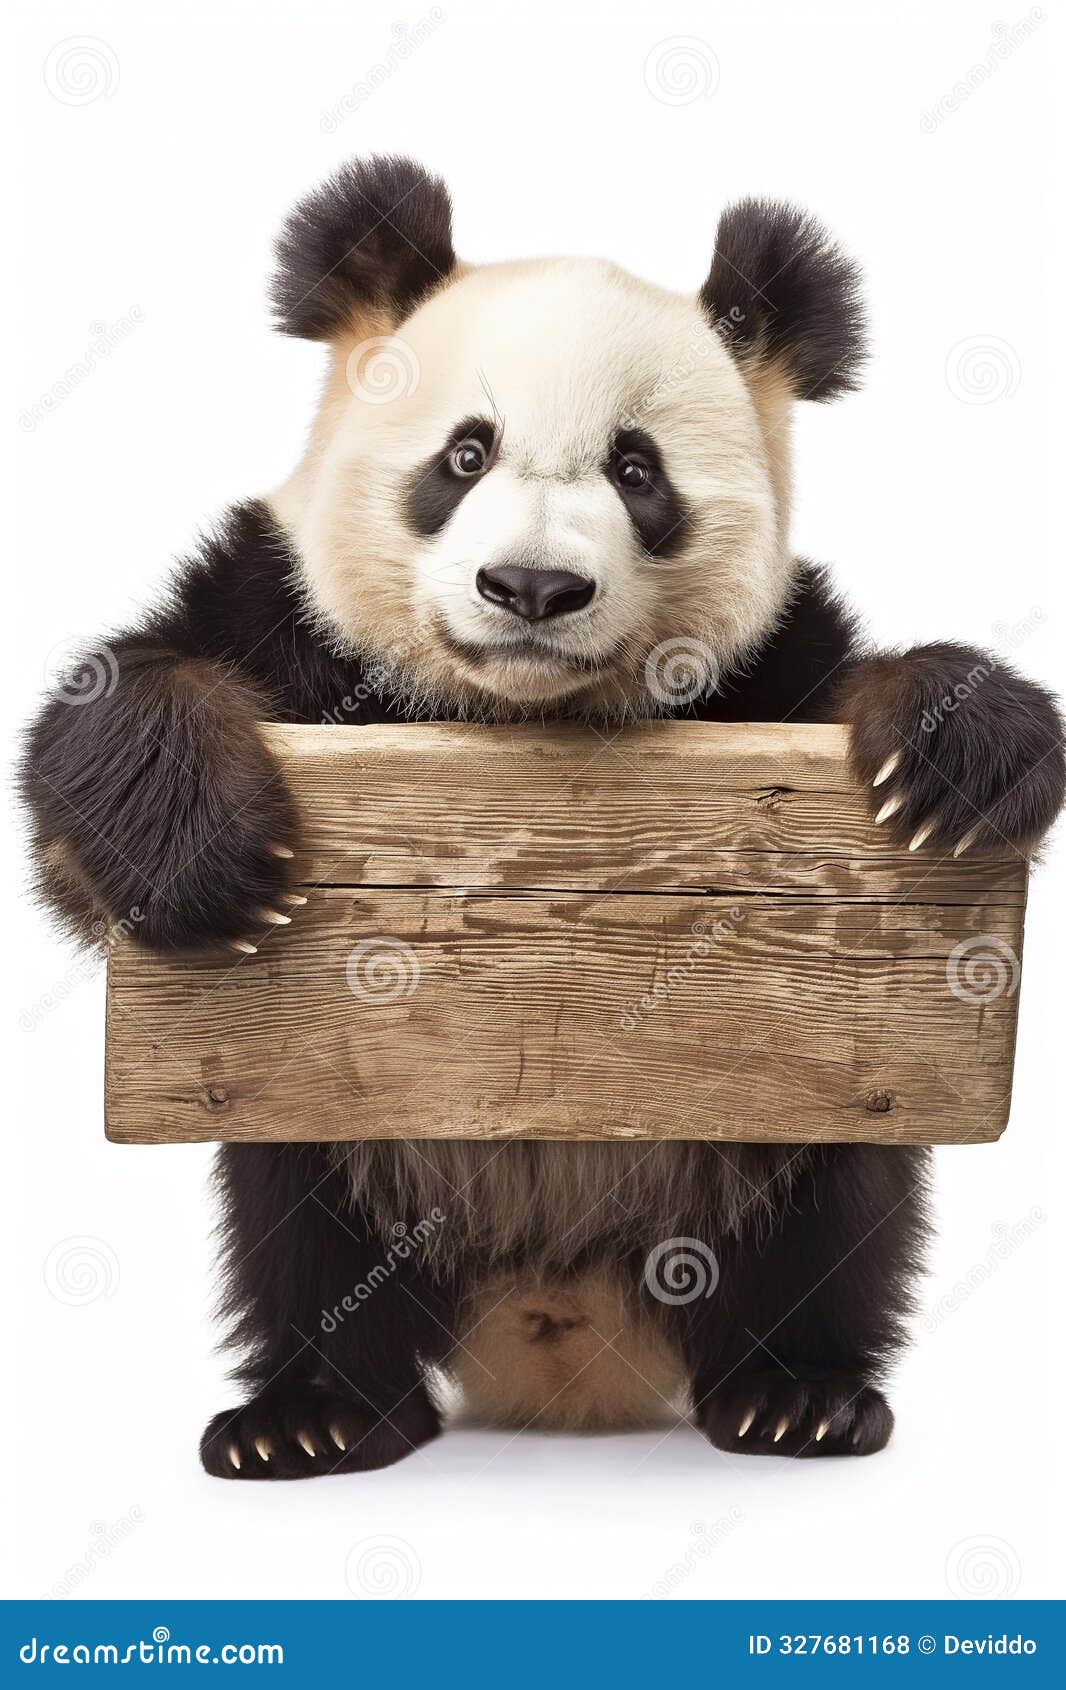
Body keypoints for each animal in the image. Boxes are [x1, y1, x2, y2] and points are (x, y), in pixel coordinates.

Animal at [22, 156, 1064, 1477]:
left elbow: (857, 698)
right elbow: (94, 760)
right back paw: (314, 1418)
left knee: (831, 1212)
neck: (521, 714)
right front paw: (200, 847)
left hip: (788, 1119)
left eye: (637, 470)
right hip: (327, 1122)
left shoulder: (769, 662)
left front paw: (955, 755)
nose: (531, 587)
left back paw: (795, 1394)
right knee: (299, 1233)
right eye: (465, 455)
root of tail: (558, 1316)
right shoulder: (281, 607)